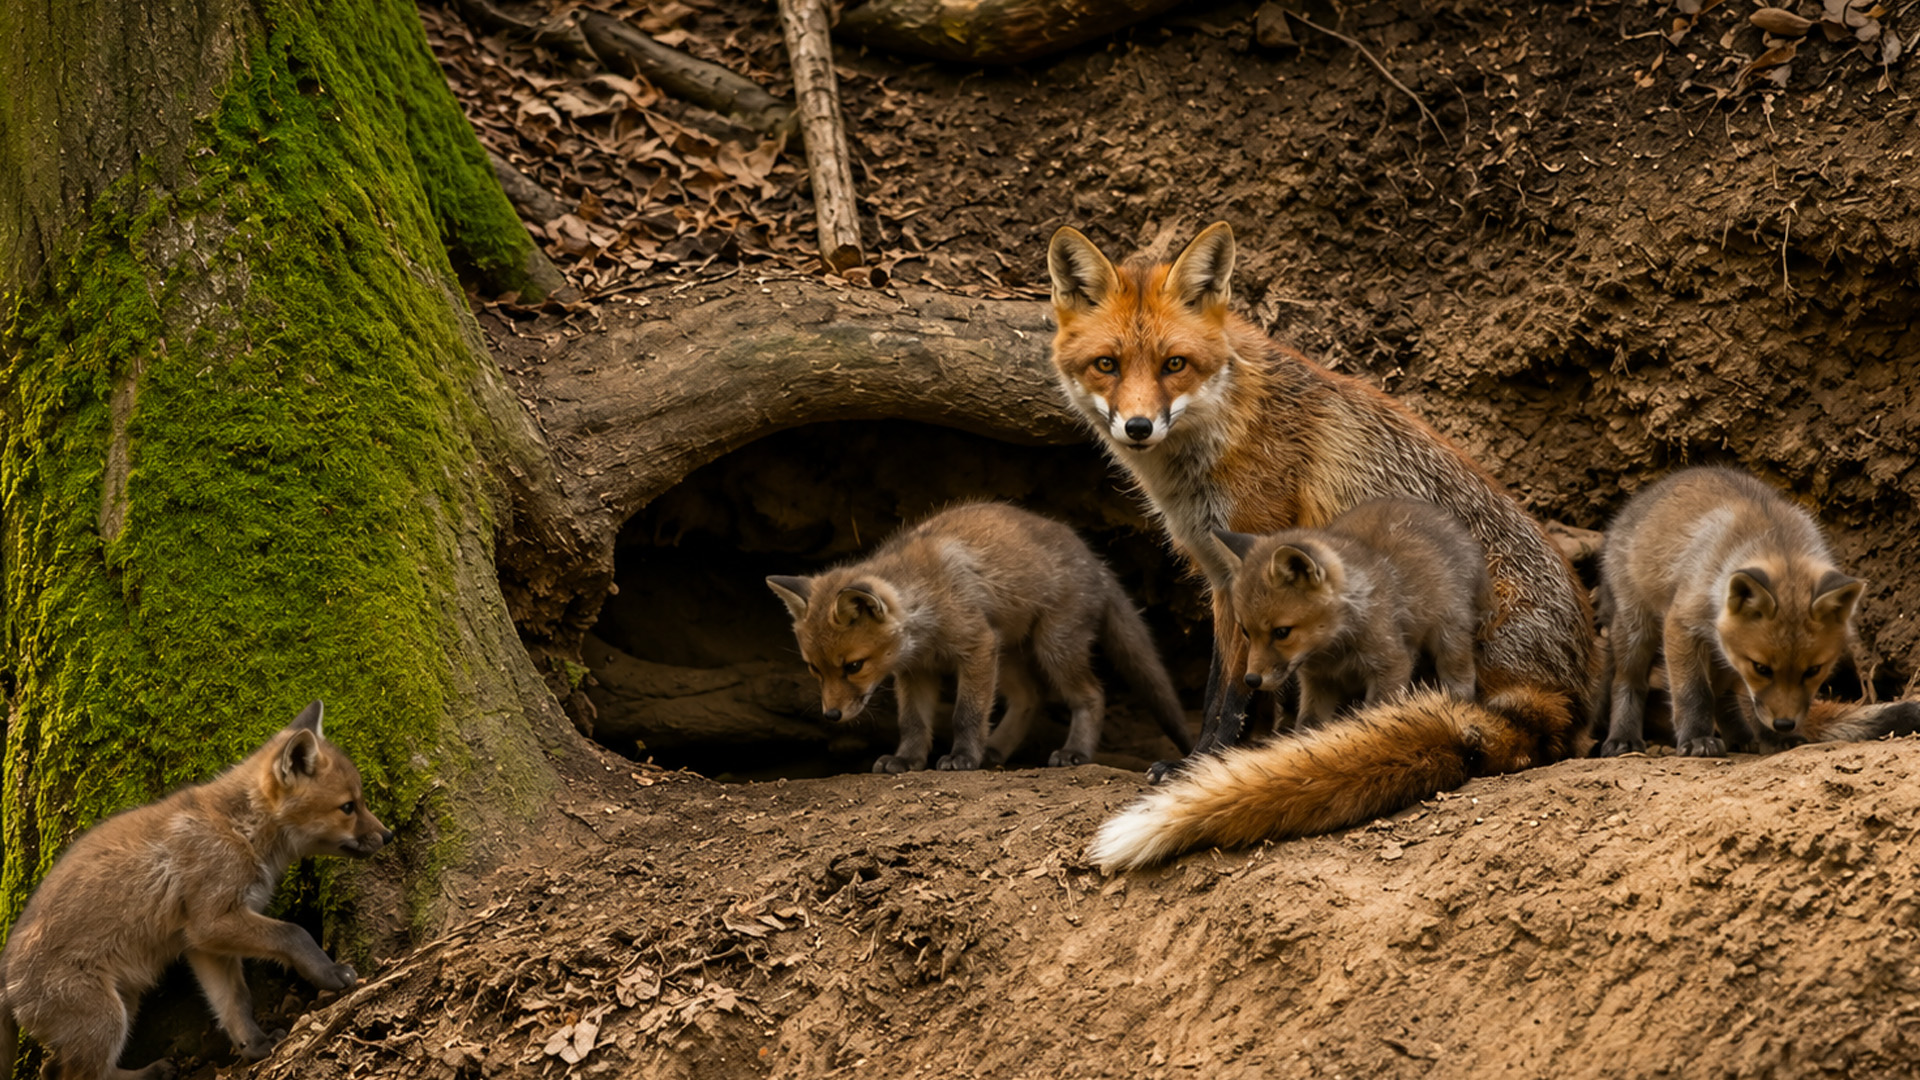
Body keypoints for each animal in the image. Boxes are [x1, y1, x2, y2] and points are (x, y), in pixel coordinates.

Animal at [0, 701, 392, 1080]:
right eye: (348, 807)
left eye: (360, 802)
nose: (388, 835)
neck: (238, 829)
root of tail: (5, 973)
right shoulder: (211, 921)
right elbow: (294, 934)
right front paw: (330, 973)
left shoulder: (203, 944)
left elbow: (235, 1003)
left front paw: (256, 1046)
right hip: (106, 1018)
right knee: (71, 1074)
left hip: (124, 1000)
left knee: (54, 1069)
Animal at [766, 501, 1193, 773]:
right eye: (814, 669)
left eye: (853, 666)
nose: (831, 715)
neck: (926, 606)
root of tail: (1096, 561)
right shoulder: (915, 672)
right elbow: (913, 723)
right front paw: (906, 761)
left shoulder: (975, 647)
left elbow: (966, 713)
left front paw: (963, 758)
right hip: (1008, 654)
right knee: (1030, 698)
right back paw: (996, 749)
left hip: (1052, 646)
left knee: (1091, 694)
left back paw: (1075, 751)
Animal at [1214, 498, 1493, 730]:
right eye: (1245, 631)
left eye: (1281, 632)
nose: (1251, 679)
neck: (1333, 651)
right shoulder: (1318, 681)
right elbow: (1308, 725)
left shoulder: (1391, 664)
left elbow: (1375, 715)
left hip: (1449, 634)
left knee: (1461, 673)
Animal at [1593, 466, 1866, 757]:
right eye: (1762, 668)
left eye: (1813, 670)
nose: (1783, 724)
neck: (1779, 541)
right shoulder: (1682, 625)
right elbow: (1694, 693)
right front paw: (1697, 738)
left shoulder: (1731, 653)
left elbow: (1736, 698)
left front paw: (1774, 738)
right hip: (1636, 629)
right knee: (1627, 681)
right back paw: (1623, 737)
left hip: (1722, 652)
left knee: (1723, 696)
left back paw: (1740, 736)